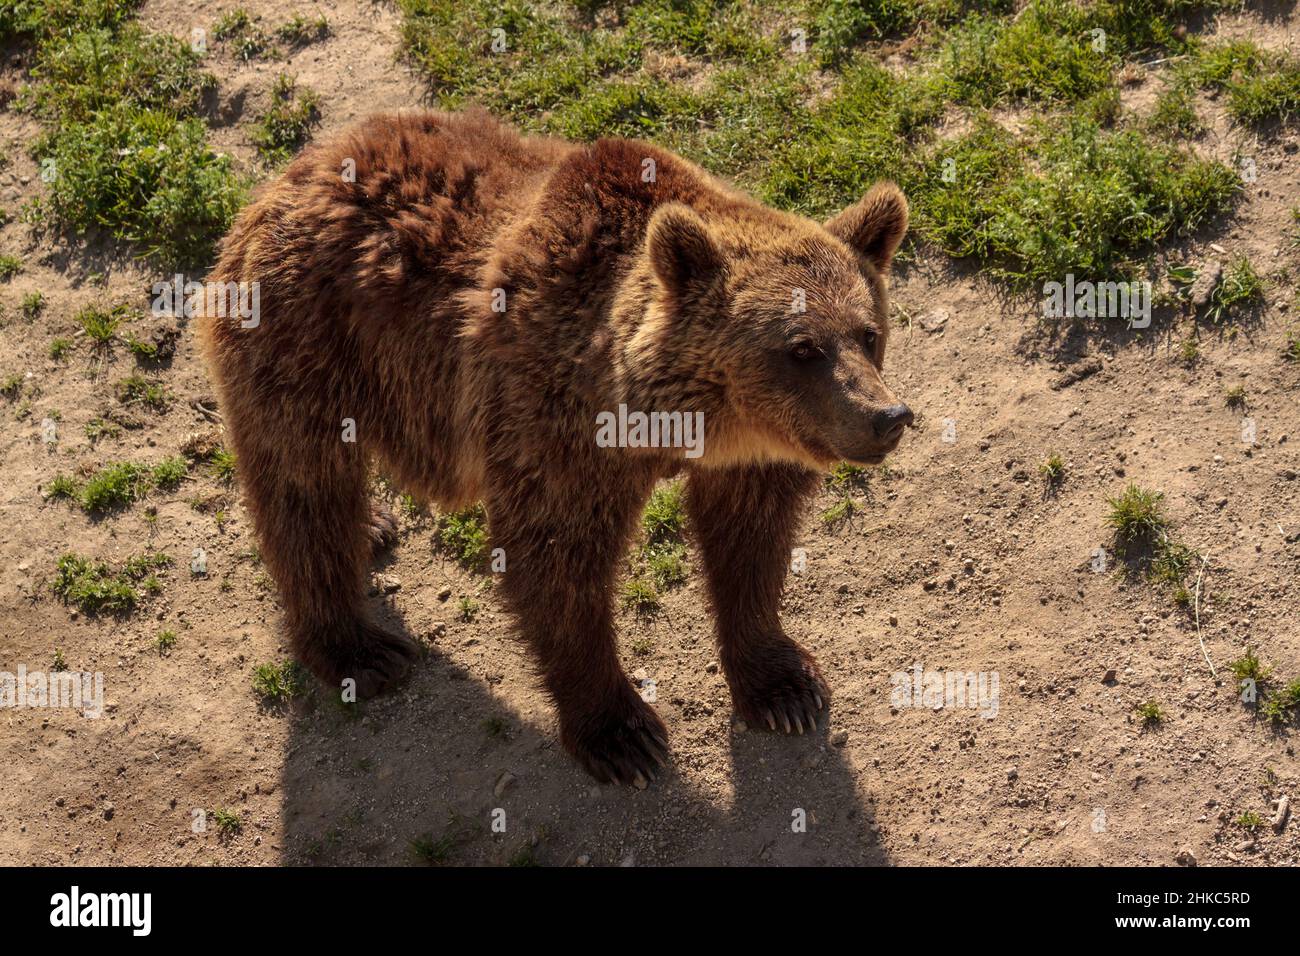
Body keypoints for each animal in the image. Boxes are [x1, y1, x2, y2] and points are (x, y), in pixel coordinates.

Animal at [199, 109, 912, 786]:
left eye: (868, 333)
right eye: (802, 348)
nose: (887, 416)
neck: (674, 421)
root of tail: (288, 175)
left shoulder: (751, 456)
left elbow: (750, 541)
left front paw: (784, 688)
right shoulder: (553, 418)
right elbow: (556, 560)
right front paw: (623, 735)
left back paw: (372, 526)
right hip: (308, 337)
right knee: (305, 486)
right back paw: (360, 649)